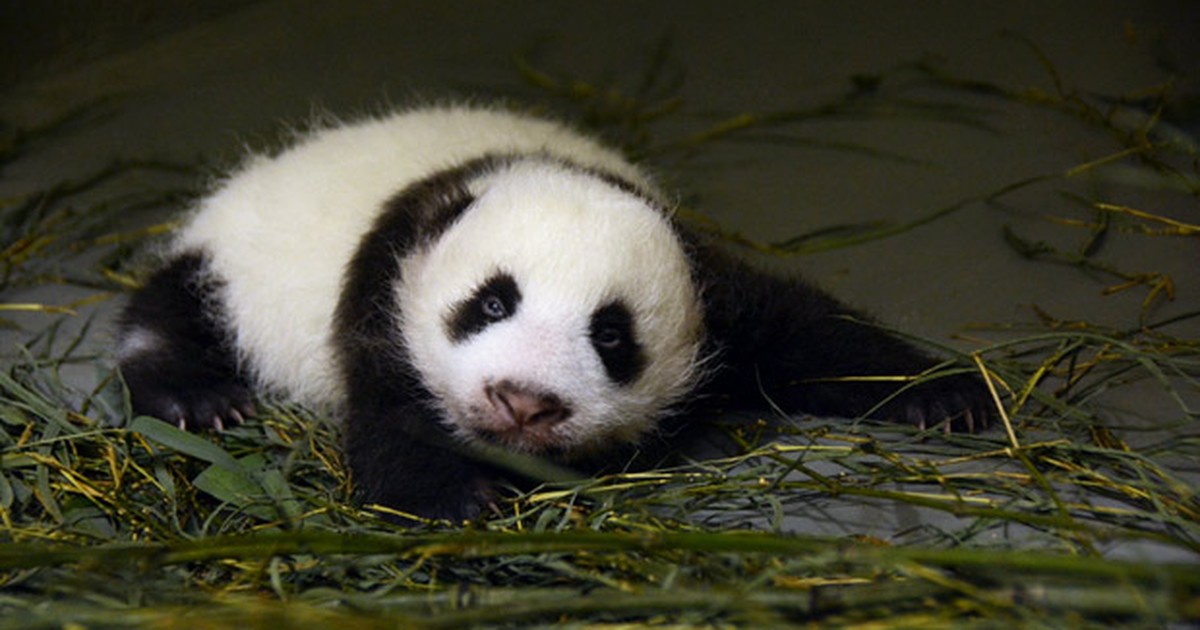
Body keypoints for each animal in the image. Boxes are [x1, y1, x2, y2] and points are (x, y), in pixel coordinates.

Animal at [116, 104, 993, 521]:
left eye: (612, 335)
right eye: (491, 301)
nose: (521, 401)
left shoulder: (713, 288)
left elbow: (813, 335)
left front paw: (945, 396)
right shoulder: (384, 286)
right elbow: (390, 411)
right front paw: (453, 498)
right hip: (234, 266)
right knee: (172, 312)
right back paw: (198, 397)